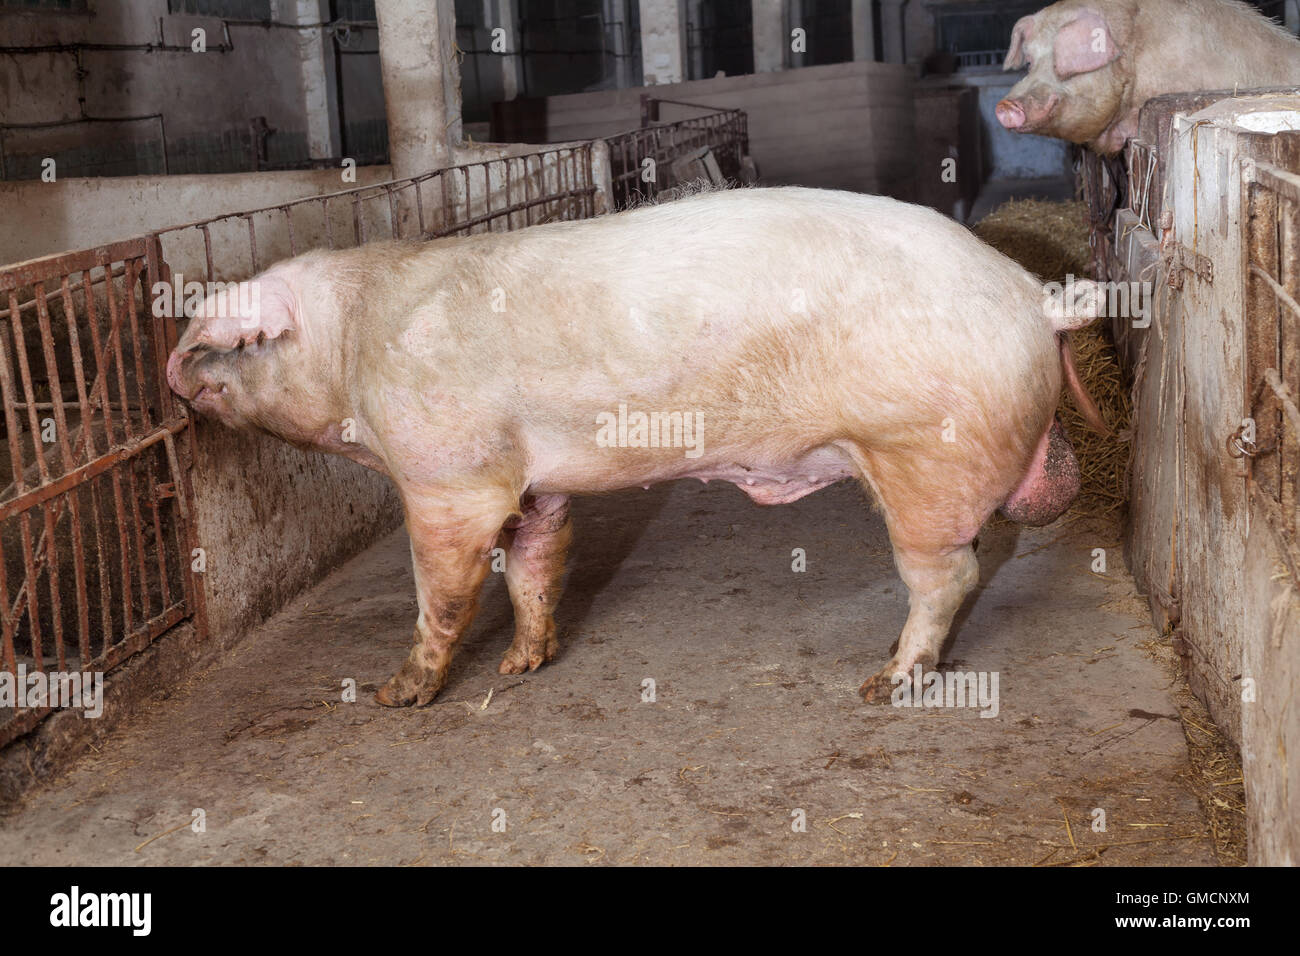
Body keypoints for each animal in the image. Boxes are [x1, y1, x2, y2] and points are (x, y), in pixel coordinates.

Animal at [165, 187, 1102, 707]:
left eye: (230, 342)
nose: (173, 374)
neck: (351, 345)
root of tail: (1035, 294)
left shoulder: (448, 477)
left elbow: (444, 588)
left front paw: (398, 696)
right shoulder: (534, 484)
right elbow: (537, 563)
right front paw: (522, 667)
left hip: (920, 458)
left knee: (949, 578)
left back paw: (881, 686)